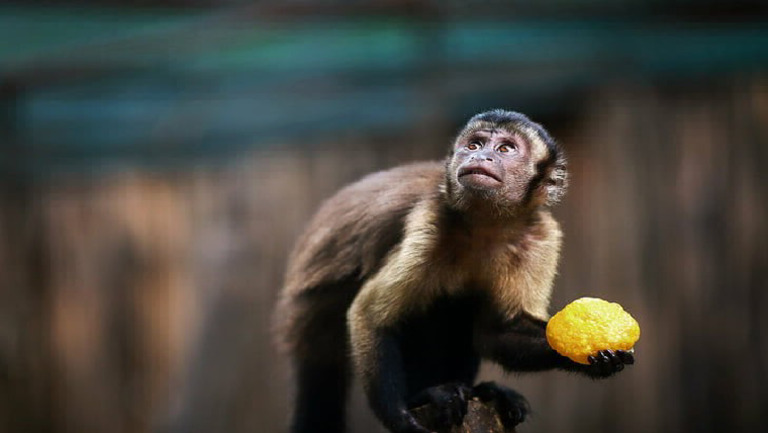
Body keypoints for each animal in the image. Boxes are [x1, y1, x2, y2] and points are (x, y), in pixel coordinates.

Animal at [275, 109, 635, 433]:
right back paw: (427, 395)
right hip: (312, 320)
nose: (481, 156)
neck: (487, 226)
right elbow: (370, 314)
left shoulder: (541, 236)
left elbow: (498, 332)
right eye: (474, 144)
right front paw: (398, 415)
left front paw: (599, 360)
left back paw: (481, 392)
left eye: (505, 149)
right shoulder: (431, 221)